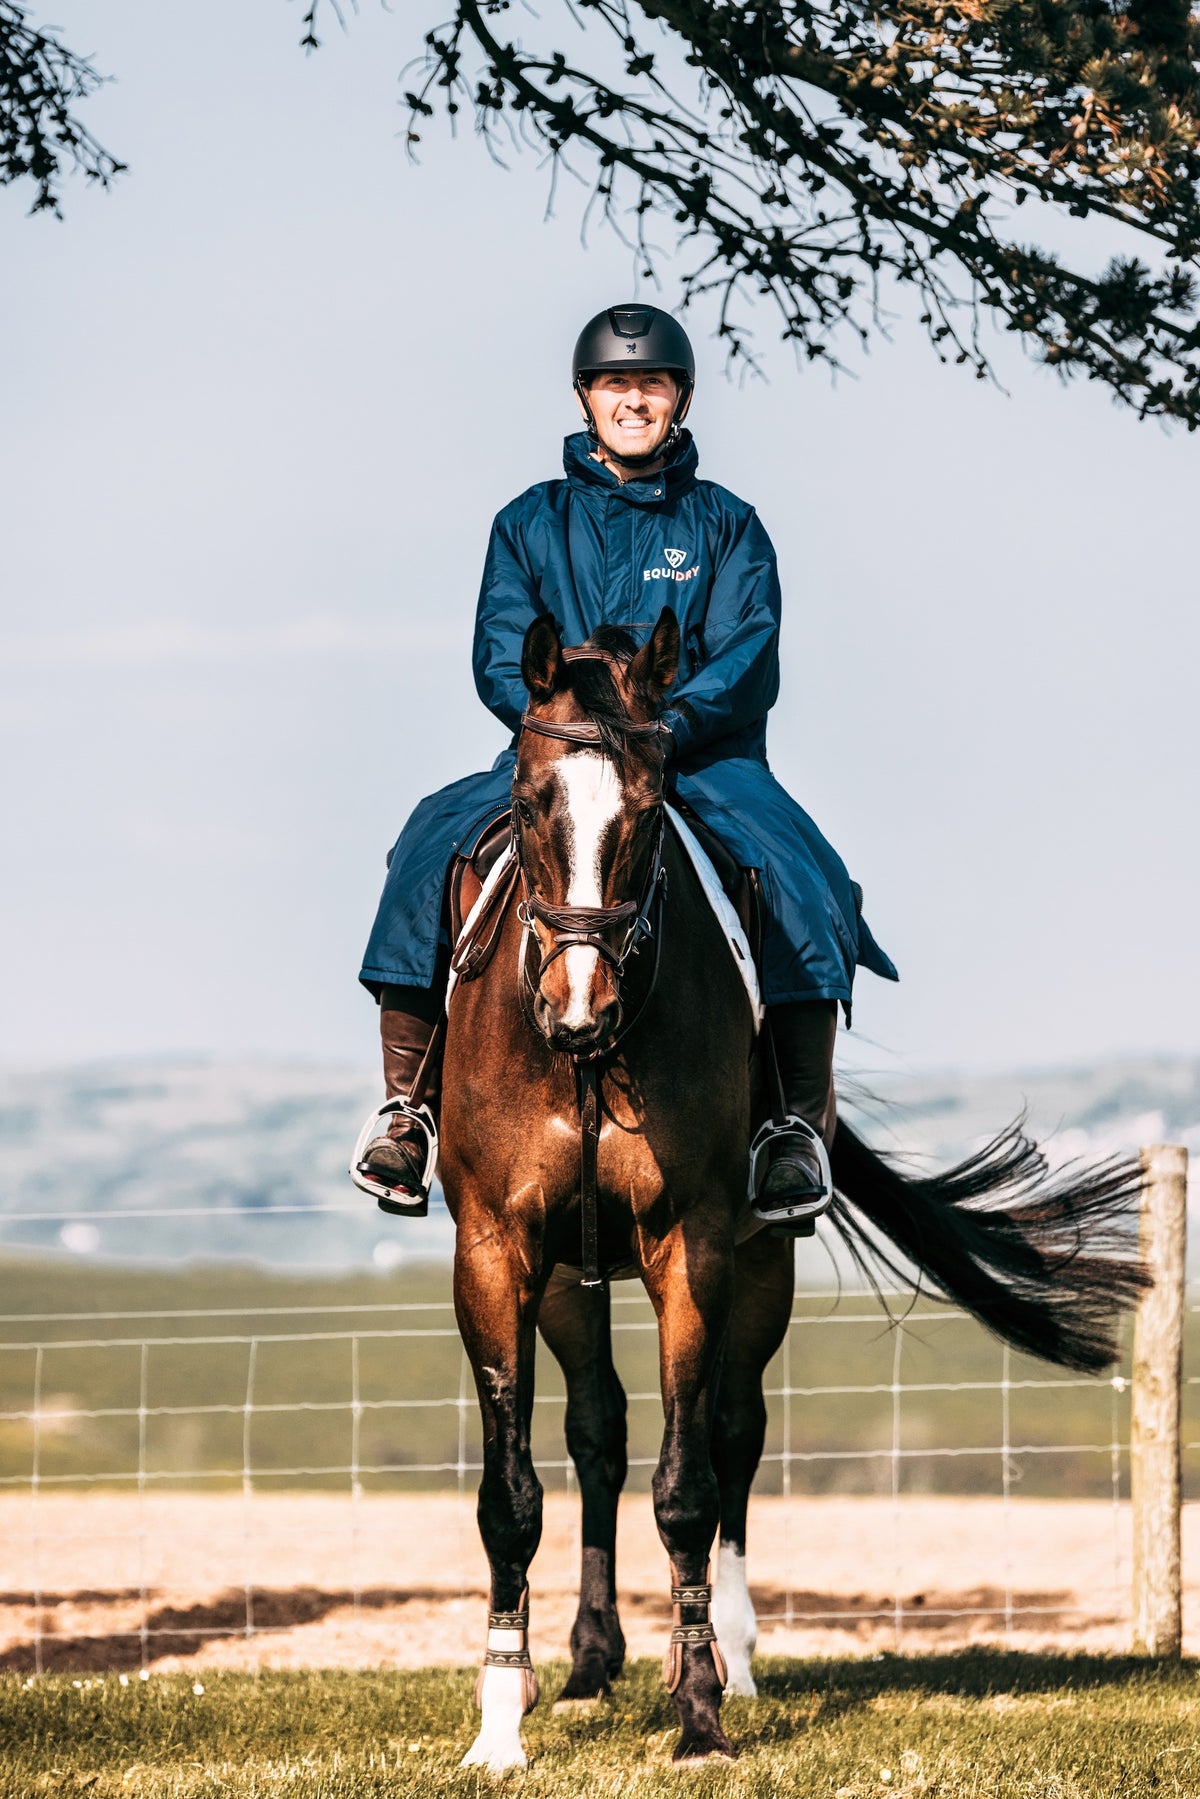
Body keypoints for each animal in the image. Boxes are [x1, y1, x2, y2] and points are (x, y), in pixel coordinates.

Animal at [436, 604, 1148, 1772]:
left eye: (647, 812)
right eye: (532, 804)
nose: (578, 1008)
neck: (593, 1058)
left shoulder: (694, 1245)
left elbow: (689, 1487)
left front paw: (699, 1710)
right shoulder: (498, 1250)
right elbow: (513, 1494)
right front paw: (500, 1722)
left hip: (760, 1263)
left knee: (730, 1433)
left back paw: (733, 1651)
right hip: (572, 1282)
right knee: (598, 1431)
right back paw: (582, 1665)